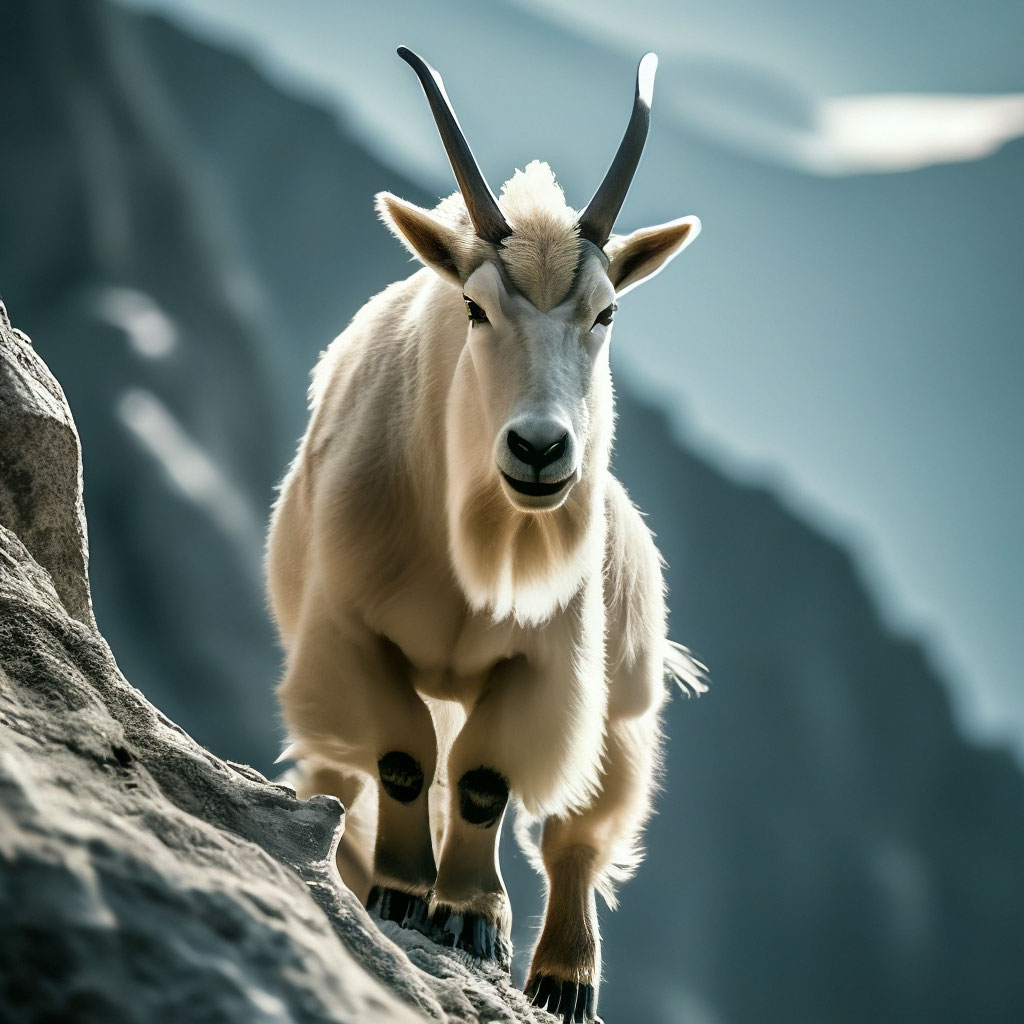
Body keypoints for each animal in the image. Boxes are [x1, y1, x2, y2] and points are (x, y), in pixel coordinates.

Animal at [267, 46, 705, 1022]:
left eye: (606, 312)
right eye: (473, 308)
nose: (539, 451)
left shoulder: (547, 662)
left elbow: (481, 780)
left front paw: (470, 917)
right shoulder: (348, 632)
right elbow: (403, 757)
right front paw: (400, 891)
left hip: (625, 701)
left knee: (584, 833)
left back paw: (565, 978)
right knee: (342, 771)